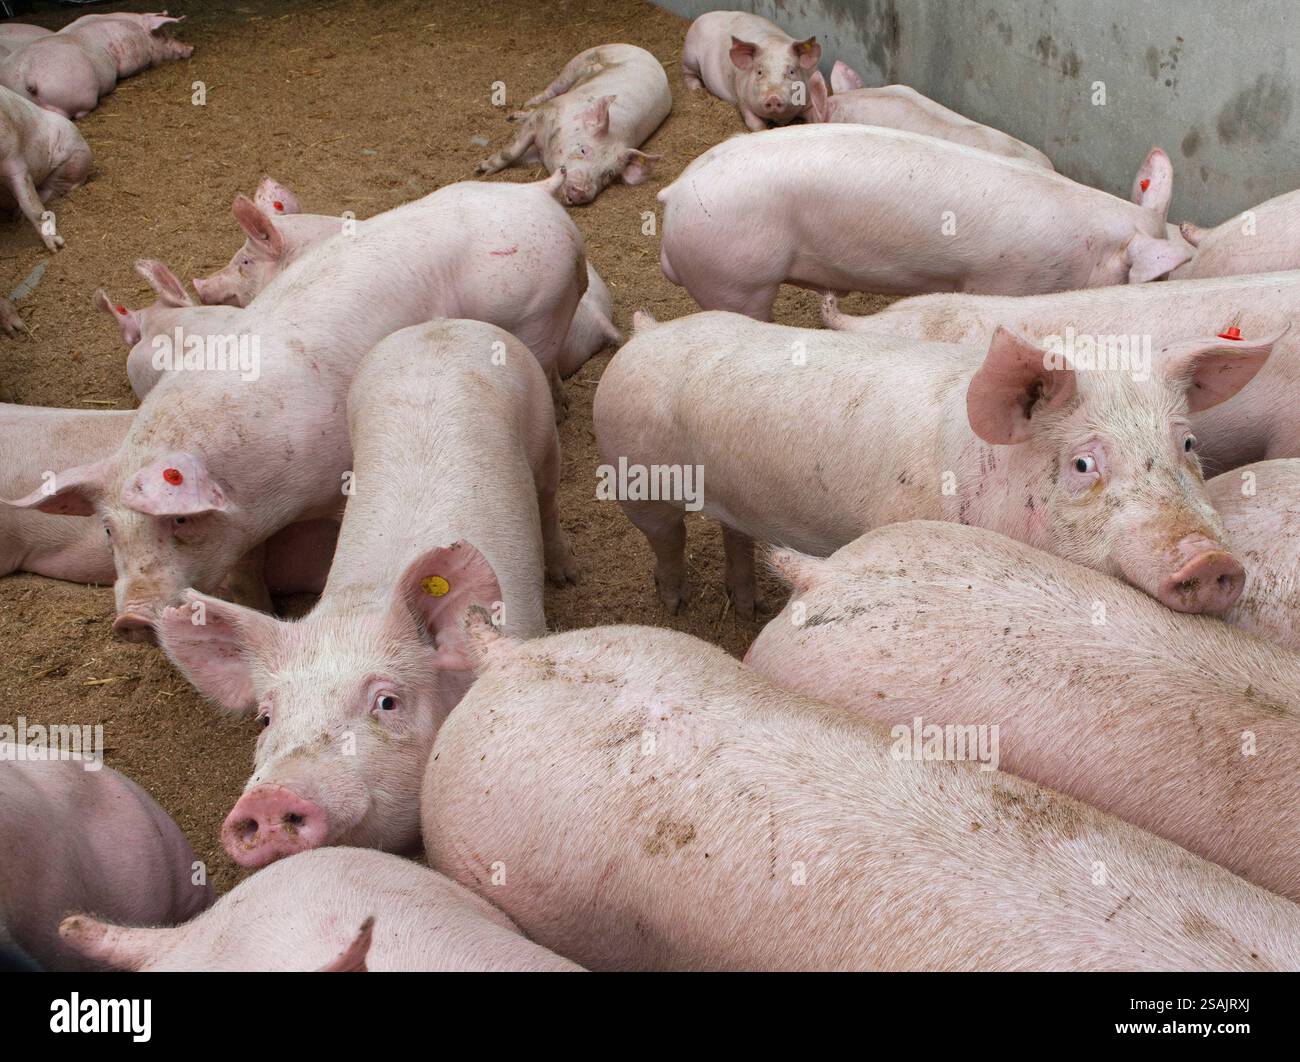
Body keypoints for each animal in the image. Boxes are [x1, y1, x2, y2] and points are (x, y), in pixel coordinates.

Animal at [0, 84, 92, 251]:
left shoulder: (14, 158)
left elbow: (30, 203)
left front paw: (57, 247)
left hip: (72, 164)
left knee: (52, 190)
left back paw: (18, 216)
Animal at [157, 320, 571, 867]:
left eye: (387, 702)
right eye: (266, 718)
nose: (269, 798)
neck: (361, 603)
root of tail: (443, 324)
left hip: (542, 431)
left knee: (549, 496)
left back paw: (566, 572)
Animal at [475, 43, 670, 205]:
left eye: (609, 174)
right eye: (583, 150)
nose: (582, 191)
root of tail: (641, 49)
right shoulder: (545, 115)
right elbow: (512, 151)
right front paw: (481, 170)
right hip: (579, 61)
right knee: (552, 89)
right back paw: (520, 110)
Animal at [595, 311, 1275, 618]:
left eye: (1187, 445)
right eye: (1083, 464)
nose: (1213, 561)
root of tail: (645, 331)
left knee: (734, 533)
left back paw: (748, 608)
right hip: (635, 476)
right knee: (666, 539)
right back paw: (673, 606)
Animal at [680, 11, 822, 130]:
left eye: (792, 72)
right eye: (759, 72)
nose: (773, 97)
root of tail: (703, 16)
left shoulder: (810, 100)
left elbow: (817, 119)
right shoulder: (742, 99)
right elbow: (756, 124)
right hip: (689, 56)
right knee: (688, 73)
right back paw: (696, 88)